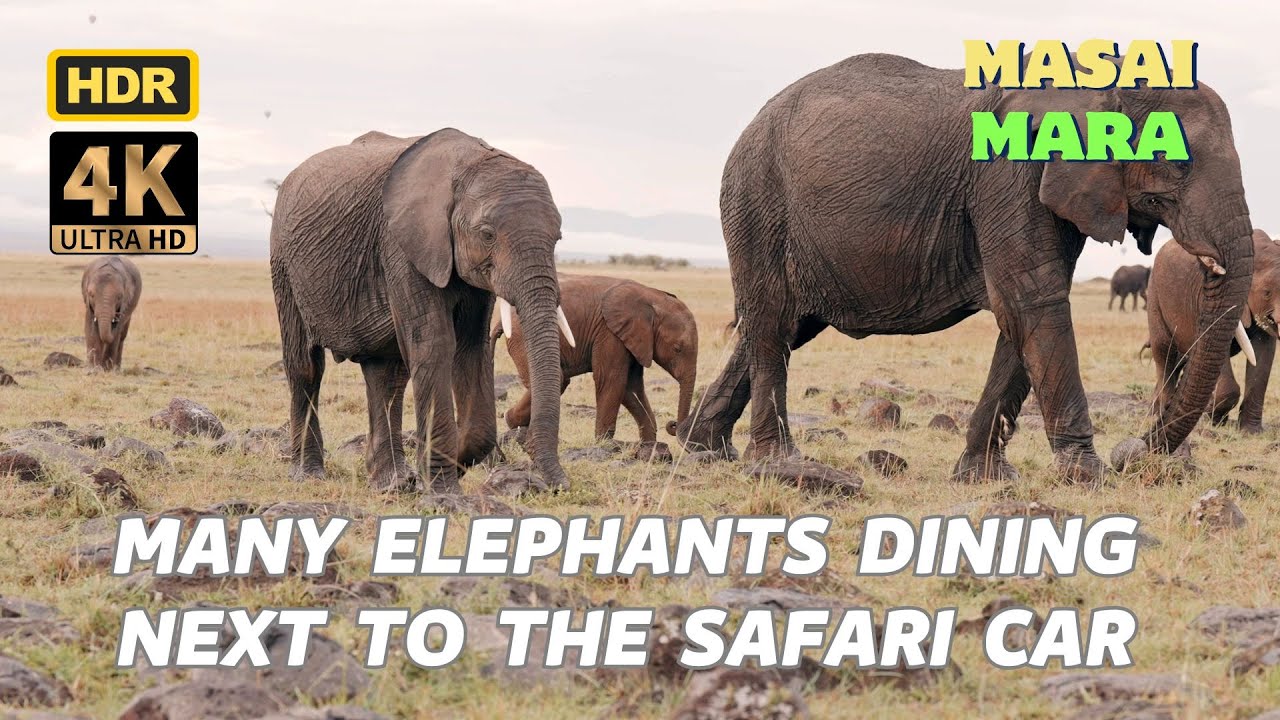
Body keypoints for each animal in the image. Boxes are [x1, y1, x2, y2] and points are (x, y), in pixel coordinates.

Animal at [270, 128, 575, 492]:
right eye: (487, 235)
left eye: (558, 238)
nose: (559, 485)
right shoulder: (403, 244)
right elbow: (435, 343)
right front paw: (443, 488)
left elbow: (471, 348)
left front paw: (446, 466)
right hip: (284, 262)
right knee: (306, 366)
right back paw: (309, 474)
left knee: (387, 375)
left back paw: (391, 482)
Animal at [494, 274, 699, 443]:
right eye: (677, 349)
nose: (672, 425)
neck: (653, 297)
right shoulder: (609, 332)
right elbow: (611, 380)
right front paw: (604, 444)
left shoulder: (632, 340)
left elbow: (630, 387)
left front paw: (648, 446)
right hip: (523, 337)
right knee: (557, 378)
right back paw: (511, 421)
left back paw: (513, 422)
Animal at [677, 52, 1255, 486]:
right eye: (1176, 160)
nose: (1137, 450)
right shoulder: (1010, 174)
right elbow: (1033, 298)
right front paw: (1087, 476)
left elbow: (1021, 313)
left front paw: (984, 477)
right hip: (757, 201)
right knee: (772, 322)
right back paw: (778, 463)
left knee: (781, 327)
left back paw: (704, 449)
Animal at [1148, 229, 1277, 434]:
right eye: (1266, 293)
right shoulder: (1207, 294)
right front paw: (1211, 414)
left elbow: (1262, 353)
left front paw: (1250, 431)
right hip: (1155, 296)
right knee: (1164, 353)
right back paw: (1160, 415)